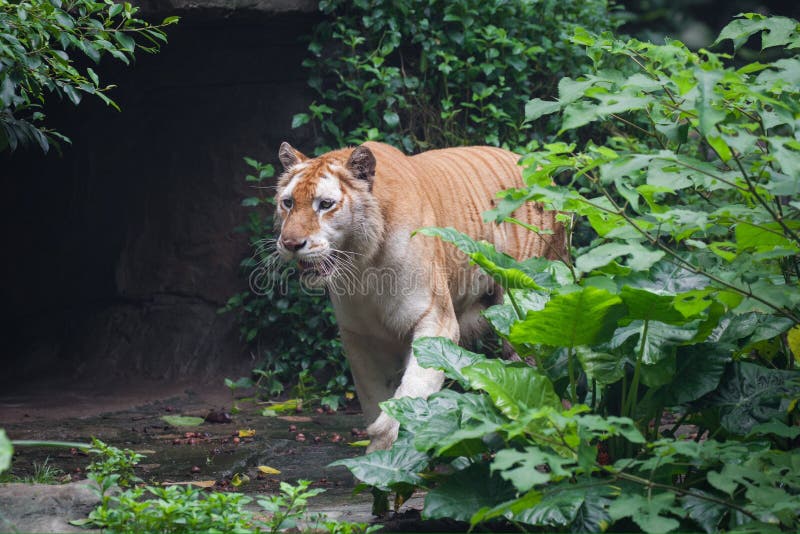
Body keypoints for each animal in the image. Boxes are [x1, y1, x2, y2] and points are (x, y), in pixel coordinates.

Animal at [274, 141, 565, 451]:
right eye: (288, 203)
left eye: (325, 205)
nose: (290, 244)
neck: (363, 265)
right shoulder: (361, 336)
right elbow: (373, 396)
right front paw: (378, 454)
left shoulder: (435, 322)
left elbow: (409, 393)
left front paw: (388, 444)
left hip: (518, 313)